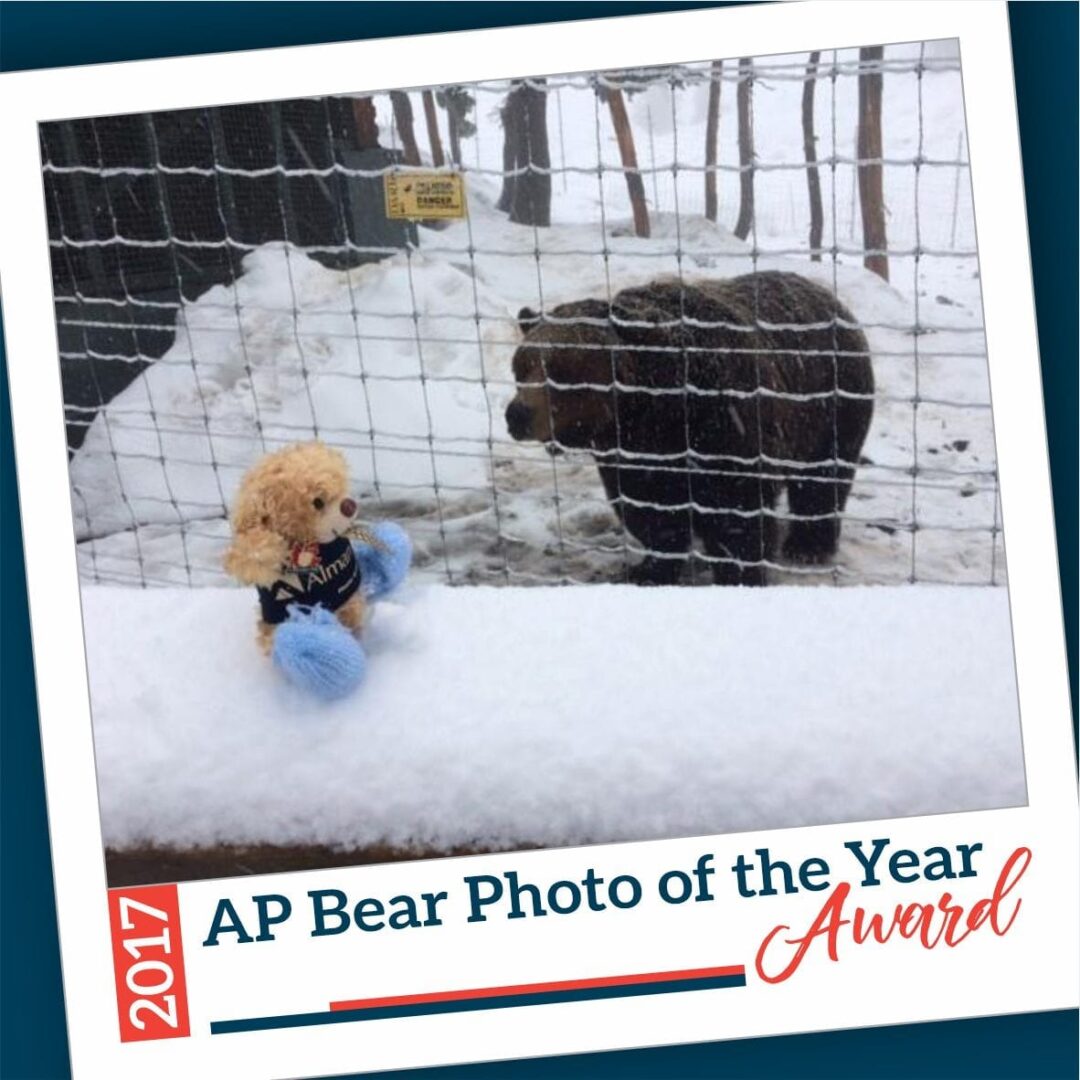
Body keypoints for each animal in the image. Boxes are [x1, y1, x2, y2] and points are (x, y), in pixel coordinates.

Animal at [504, 271, 874, 586]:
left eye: (561, 370)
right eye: (521, 366)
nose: (517, 414)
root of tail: (831, 298)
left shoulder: (725, 427)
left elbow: (737, 516)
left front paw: (738, 572)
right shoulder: (638, 457)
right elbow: (651, 512)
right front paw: (649, 569)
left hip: (832, 403)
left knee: (823, 479)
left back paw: (807, 546)